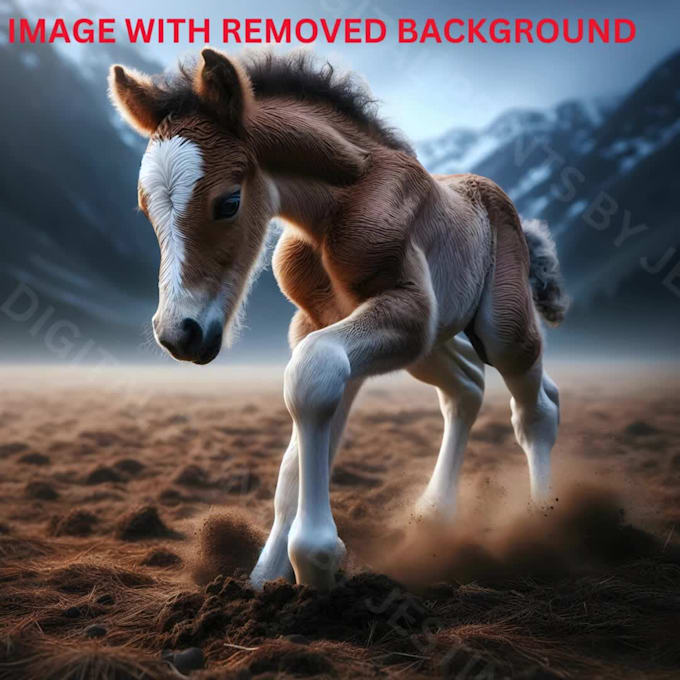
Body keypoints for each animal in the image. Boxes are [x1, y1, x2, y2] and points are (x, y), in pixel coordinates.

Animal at [108, 48, 568, 590]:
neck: (333, 209)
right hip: (430, 348)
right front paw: (263, 581)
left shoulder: (407, 314)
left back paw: (541, 522)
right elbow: (299, 452)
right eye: (146, 211)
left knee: (535, 405)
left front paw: (315, 559)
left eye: (228, 202)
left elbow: (312, 375)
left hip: (499, 327)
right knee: (468, 387)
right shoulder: (318, 324)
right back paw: (435, 515)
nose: (179, 334)